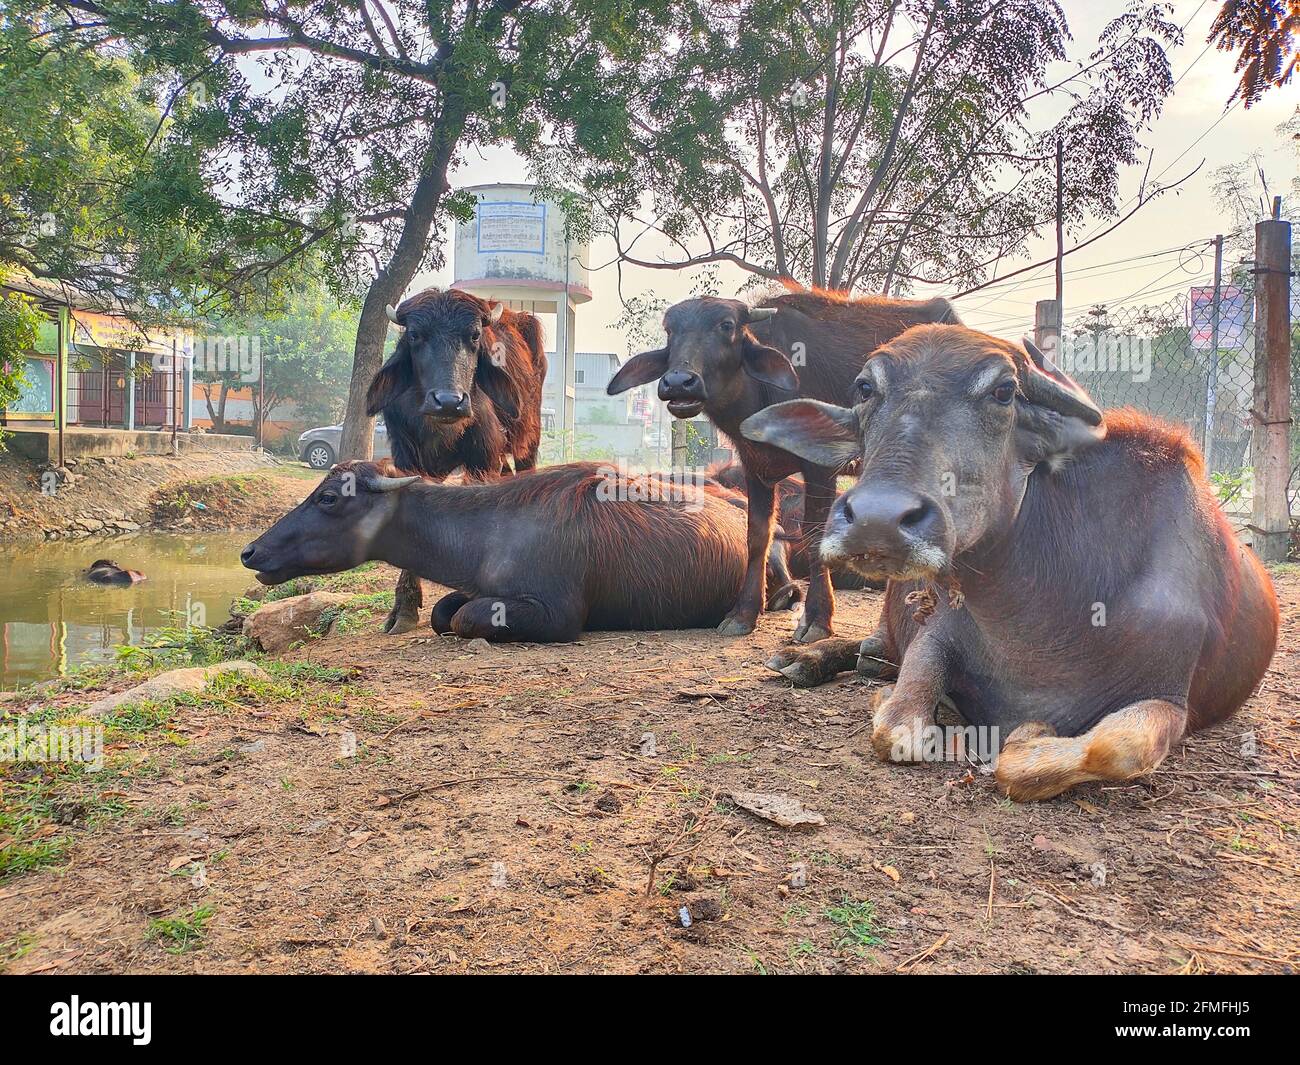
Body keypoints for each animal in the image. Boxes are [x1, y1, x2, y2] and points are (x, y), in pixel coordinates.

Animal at [365, 287, 547, 634]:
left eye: (474, 335)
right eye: (415, 335)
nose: (449, 401)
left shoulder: (482, 457)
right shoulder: (407, 457)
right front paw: (404, 609)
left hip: (528, 435)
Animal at [607, 291, 958, 643]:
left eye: (726, 325)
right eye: (670, 331)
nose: (679, 382)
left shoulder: (821, 468)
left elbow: (815, 536)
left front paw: (817, 619)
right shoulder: (754, 469)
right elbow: (757, 535)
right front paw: (743, 614)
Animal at [743, 324, 1279, 801]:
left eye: (1004, 391)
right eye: (865, 387)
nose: (877, 519)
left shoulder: (1169, 698)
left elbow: (1116, 745)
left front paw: (1029, 735)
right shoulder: (936, 635)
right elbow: (896, 728)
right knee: (873, 645)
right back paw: (805, 658)